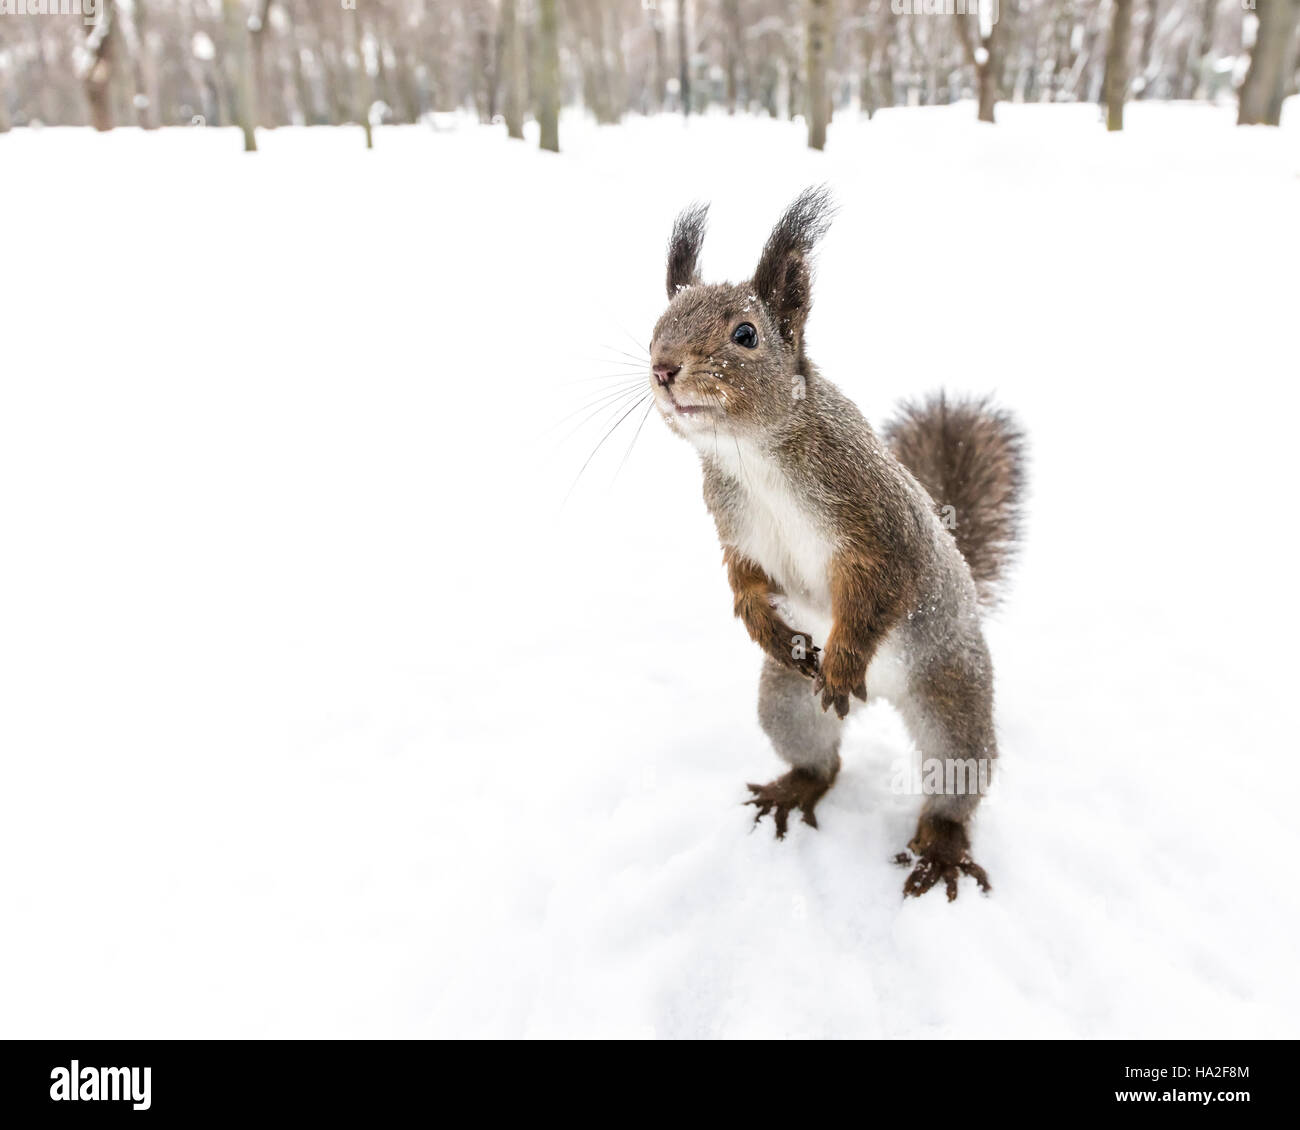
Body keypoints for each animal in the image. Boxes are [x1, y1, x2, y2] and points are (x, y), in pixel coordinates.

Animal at [648, 187, 1025, 901]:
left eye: (746, 334)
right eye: (657, 322)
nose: (662, 368)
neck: (751, 455)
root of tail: (885, 696)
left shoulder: (877, 522)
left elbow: (882, 585)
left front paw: (846, 659)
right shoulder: (734, 525)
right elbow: (744, 580)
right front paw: (769, 628)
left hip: (954, 694)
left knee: (956, 779)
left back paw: (941, 846)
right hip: (785, 703)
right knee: (820, 757)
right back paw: (795, 787)